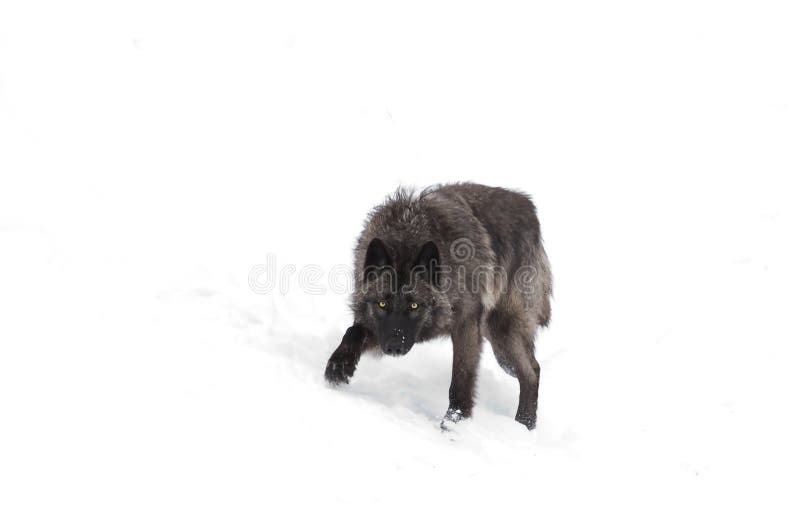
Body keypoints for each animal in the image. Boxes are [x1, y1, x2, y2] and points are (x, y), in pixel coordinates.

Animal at [324, 183, 552, 430]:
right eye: (382, 303)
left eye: (415, 305)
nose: (395, 348)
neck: (407, 238)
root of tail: (528, 206)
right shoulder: (380, 329)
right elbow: (353, 331)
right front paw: (338, 367)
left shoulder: (466, 326)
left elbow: (461, 379)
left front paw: (454, 425)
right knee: (533, 369)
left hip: (502, 338)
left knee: (531, 372)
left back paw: (524, 426)